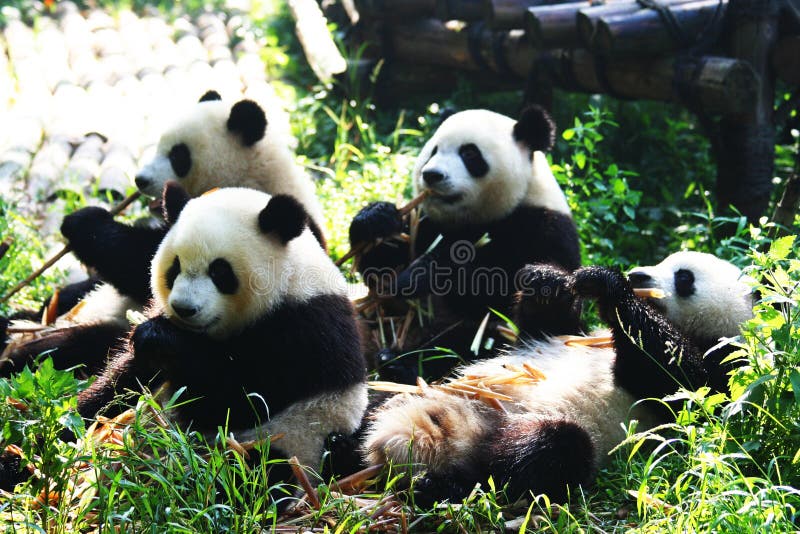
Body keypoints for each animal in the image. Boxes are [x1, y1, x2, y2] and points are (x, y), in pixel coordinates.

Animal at [0, 91, 326, 378]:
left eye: (178, 155)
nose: (140, 180)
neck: (254, 175)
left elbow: (142, 262)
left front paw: (83, 222)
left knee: (79, 344)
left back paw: (18, 353)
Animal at [348, 106, 581, 382]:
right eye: (434, 150)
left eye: (469, 153)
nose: (432, 175)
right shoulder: (427, 222)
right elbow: (381, 272)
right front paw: (375, 219)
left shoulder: (542, 227)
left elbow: (486, 287)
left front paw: (419, 275)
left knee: (470, 342)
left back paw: (401, 363)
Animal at [361, 251, 754, 505]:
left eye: (684, 276)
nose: (639, 276)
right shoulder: (570, 334)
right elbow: (547, 325)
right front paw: (549, 281)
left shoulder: (724, 365)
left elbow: (677, 380)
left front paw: (607, 284)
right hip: (425, 394)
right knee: (375, 402)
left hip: (555, 434)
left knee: (547, 452)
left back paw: (442, 486)